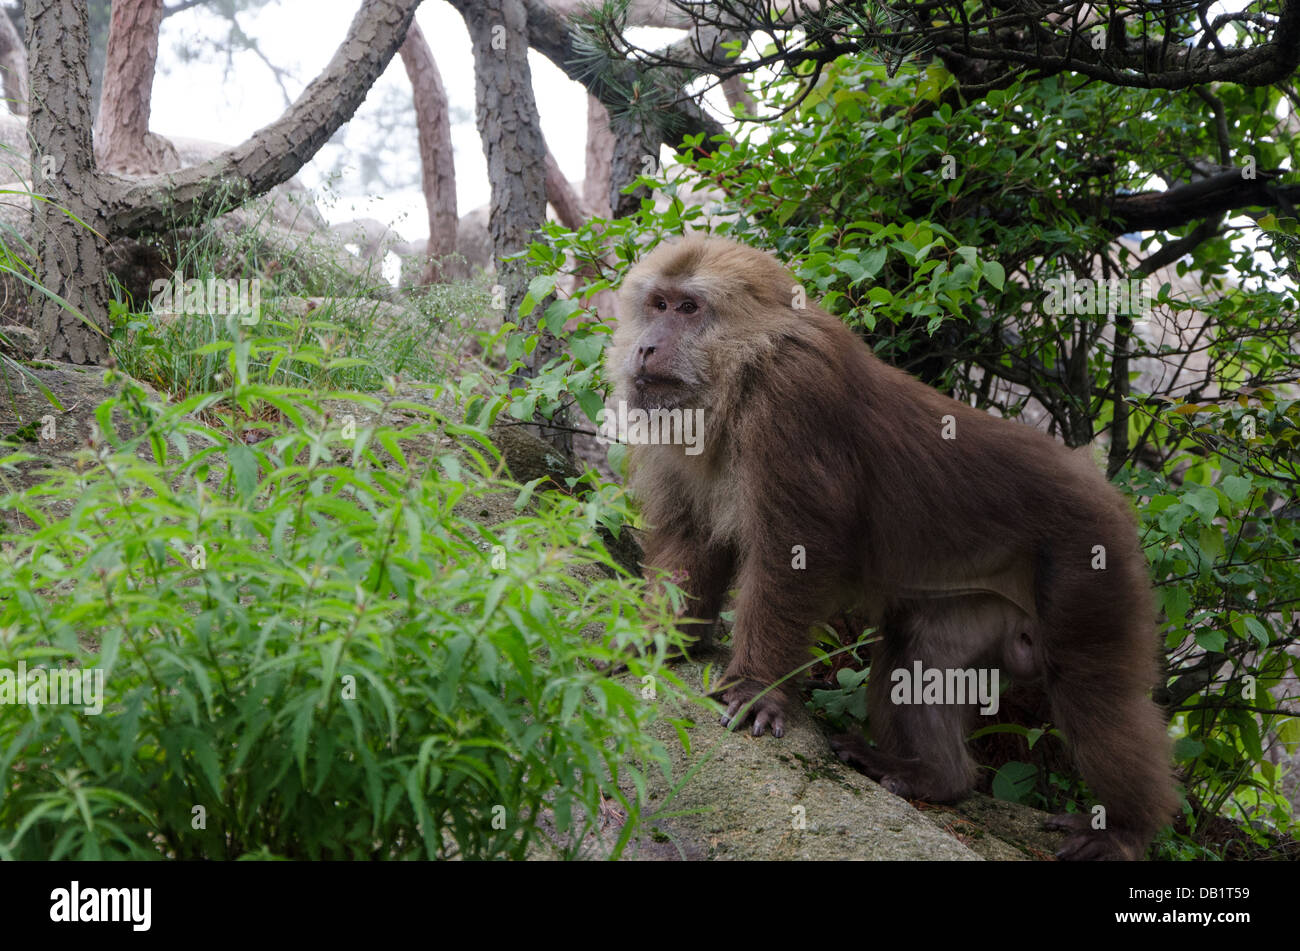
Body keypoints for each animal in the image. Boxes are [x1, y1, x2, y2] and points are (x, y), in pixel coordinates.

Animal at [606, 235, 1178, 860]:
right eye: (657, 303)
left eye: (689, 309)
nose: (647, 346)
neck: (741, 371)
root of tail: (1106, 489)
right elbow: (690, 538)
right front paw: (657, 639)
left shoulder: (792, 396)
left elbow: (794, 552)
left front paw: (758, 687)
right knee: (920, 650)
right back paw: (935, 777)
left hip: (1090, 556)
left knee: (1093, 692)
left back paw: (1125, 830)